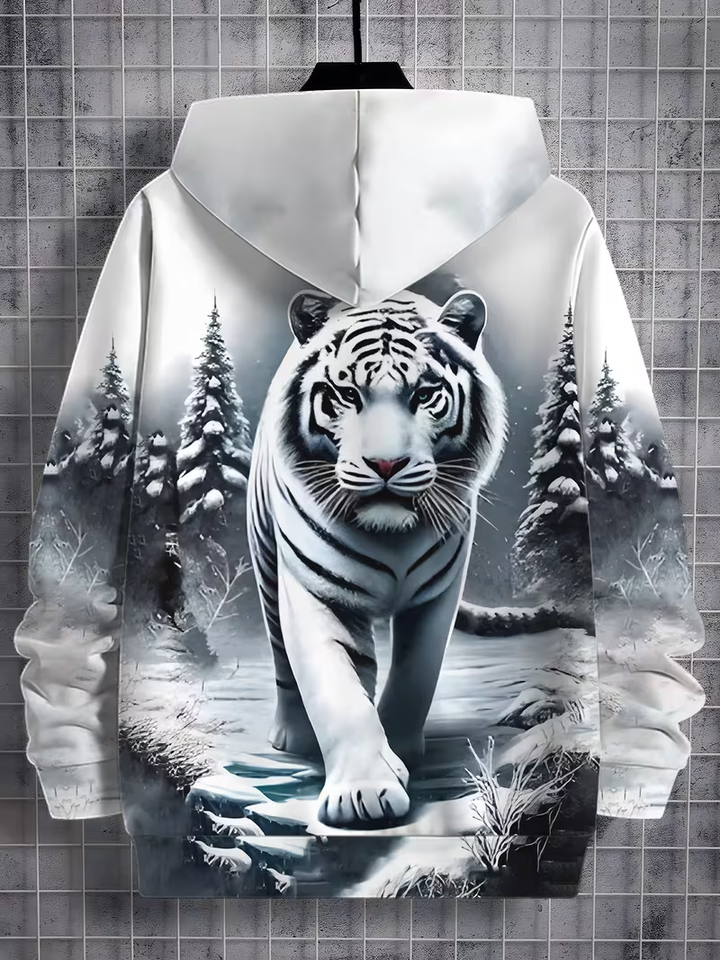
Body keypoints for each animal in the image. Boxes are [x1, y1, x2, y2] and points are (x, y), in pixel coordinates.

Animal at [247, 287, 508, 828]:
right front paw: (363, 793)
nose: (386, 464)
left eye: (424, 395)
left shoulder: (436, 597)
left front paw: (400, 751)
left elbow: (415, 675)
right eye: (348, 395)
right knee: (284, 659)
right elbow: (336, 689)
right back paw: (294, 737)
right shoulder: (317, 591)